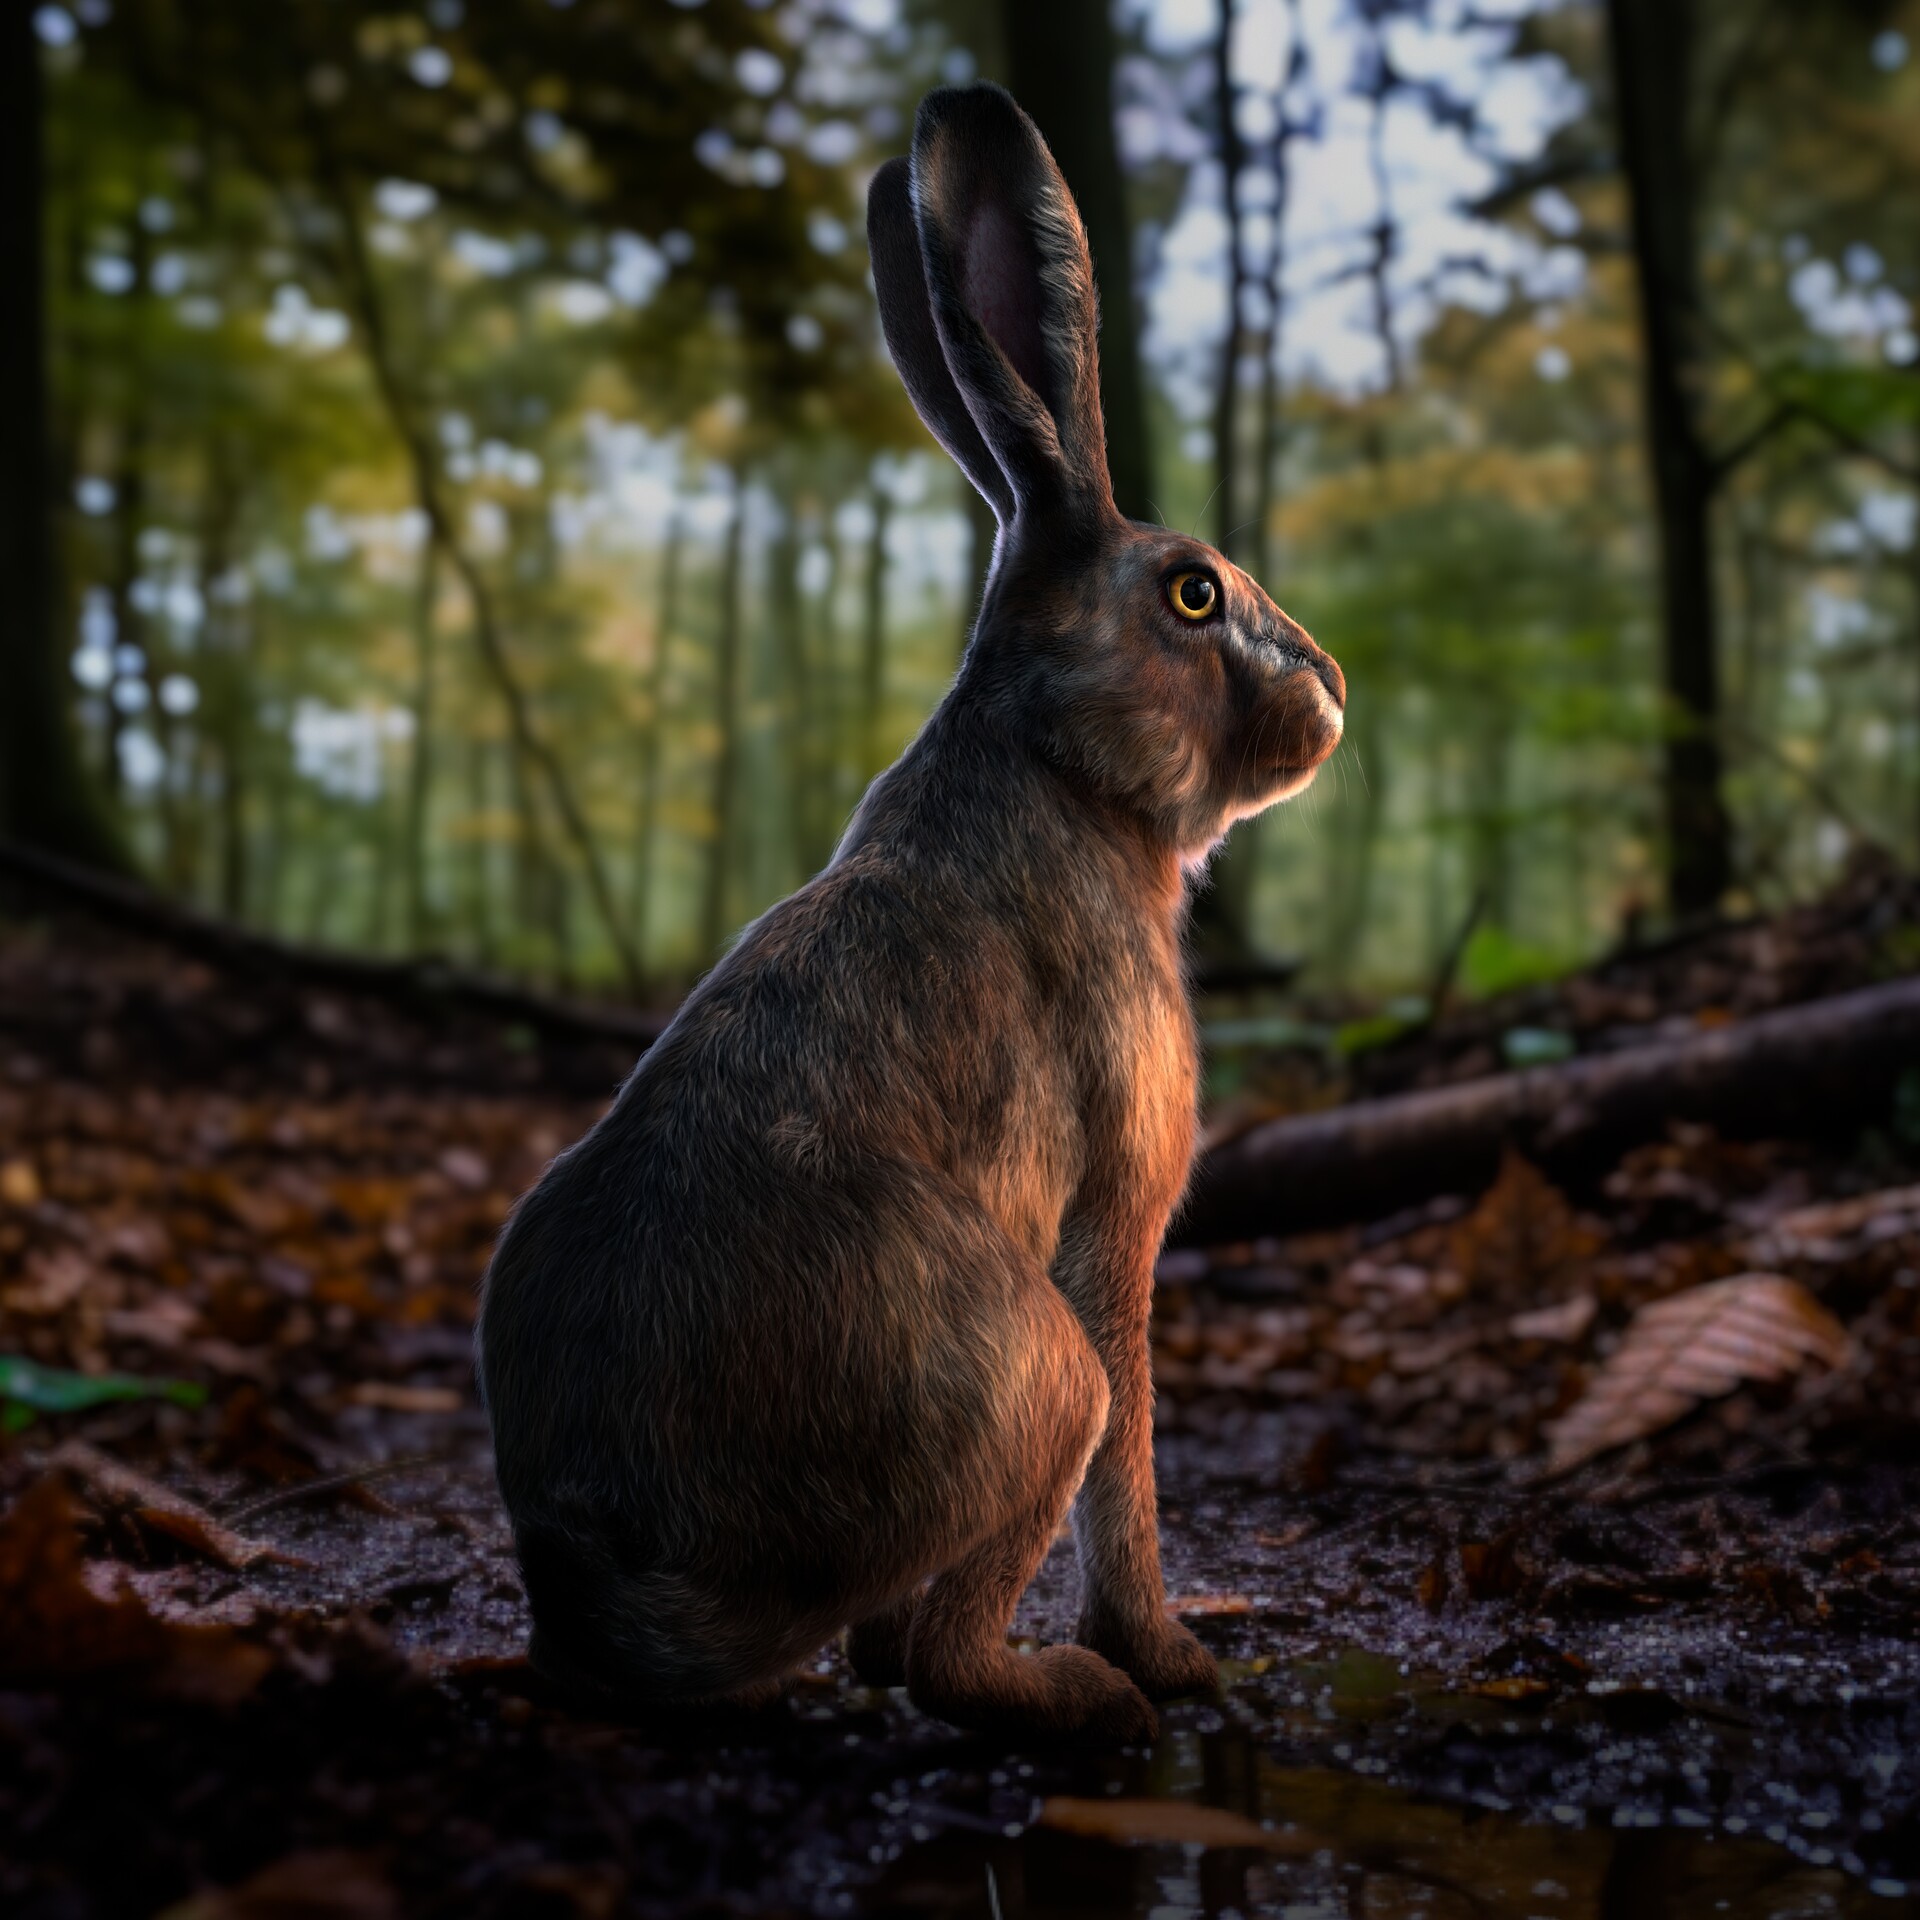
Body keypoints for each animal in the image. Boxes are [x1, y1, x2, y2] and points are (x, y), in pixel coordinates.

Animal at [475, 81, 1345, 1743]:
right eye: (1194, 593)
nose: (1332, 692)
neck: (1064, 764)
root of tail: (627, 1592)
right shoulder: (1118, 1218)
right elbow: (1135, 1459)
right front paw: (1175, 1655)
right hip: (1035, 1376)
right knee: (944, 1653)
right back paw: (1090, 1693)